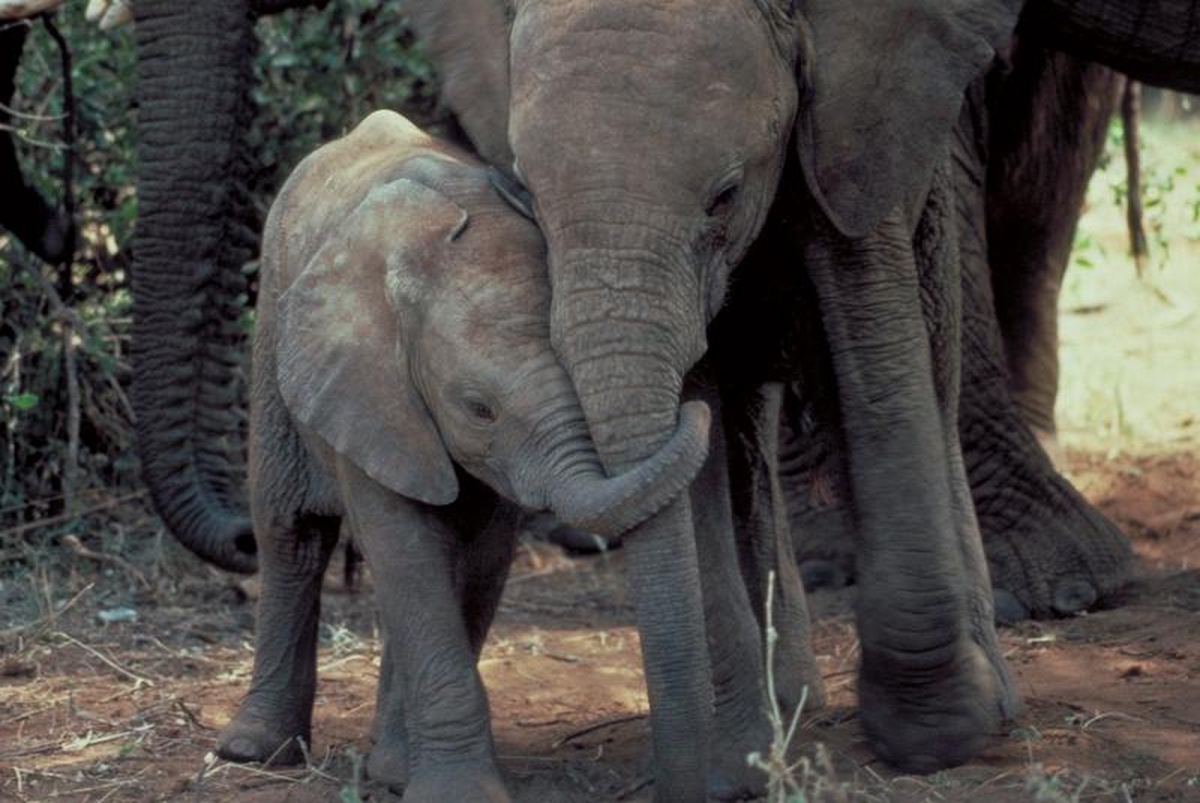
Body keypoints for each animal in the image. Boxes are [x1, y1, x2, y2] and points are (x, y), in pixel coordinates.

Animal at [215, 109, 712, 802]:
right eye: (479, 409)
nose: (698, 403)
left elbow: (477, 557)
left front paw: (409, 776)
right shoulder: (368, 384)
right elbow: (403, 545)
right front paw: (456, 792)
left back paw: (387, 764)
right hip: (272, 335)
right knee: (292, 533)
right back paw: (251, 751)